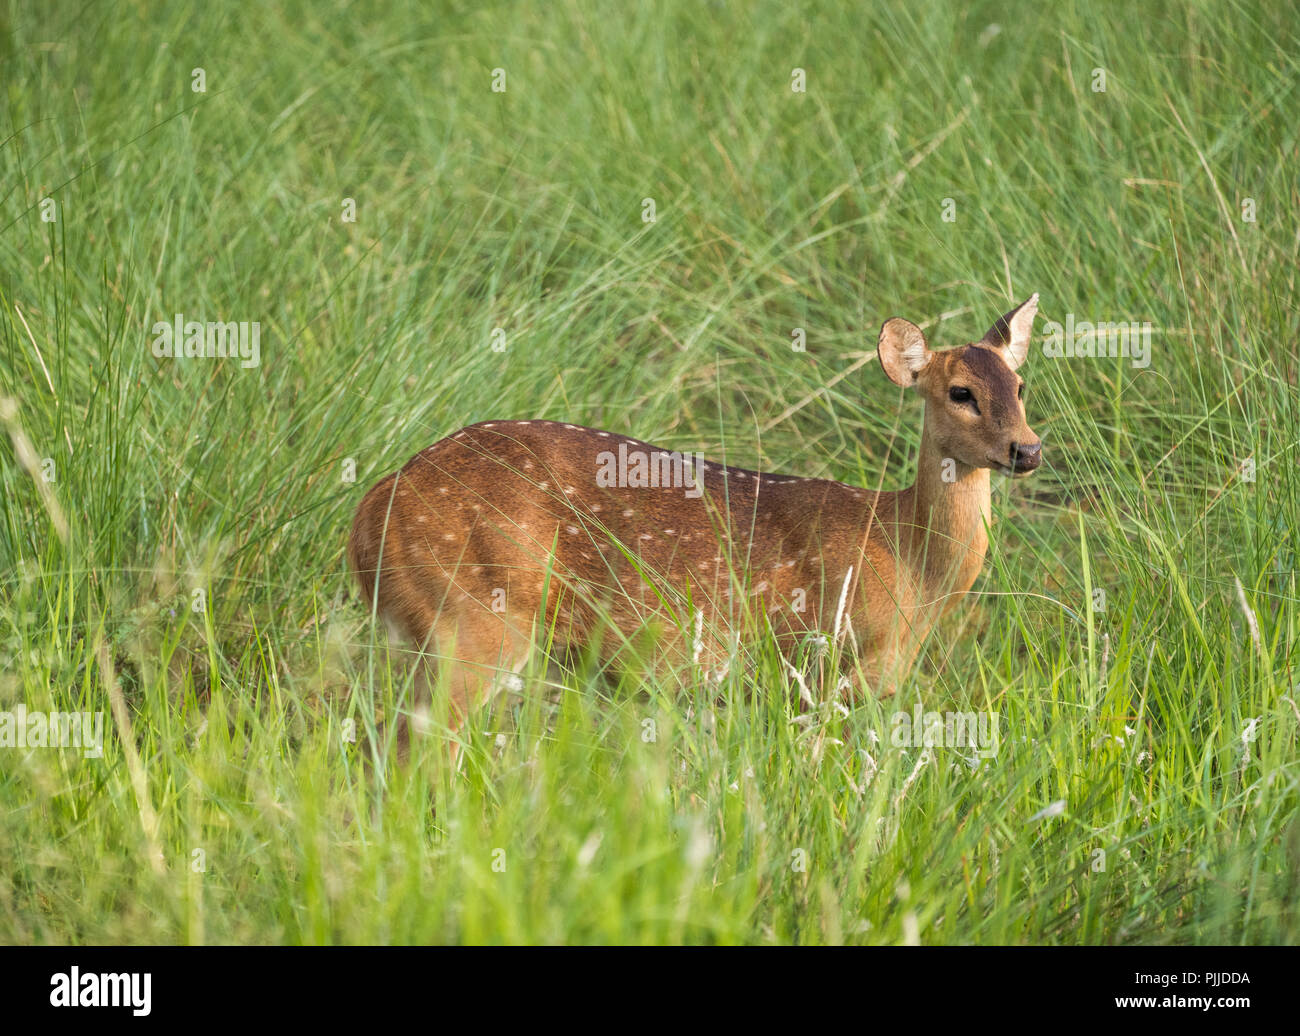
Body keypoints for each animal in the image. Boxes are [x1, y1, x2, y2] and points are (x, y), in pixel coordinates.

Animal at [348, 294, 1042, 758]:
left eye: (1019, 385)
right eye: (959, 392)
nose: (1027, 449)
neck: (909, 560)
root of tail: (369, 515)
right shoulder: (814, 663)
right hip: (472, 618)